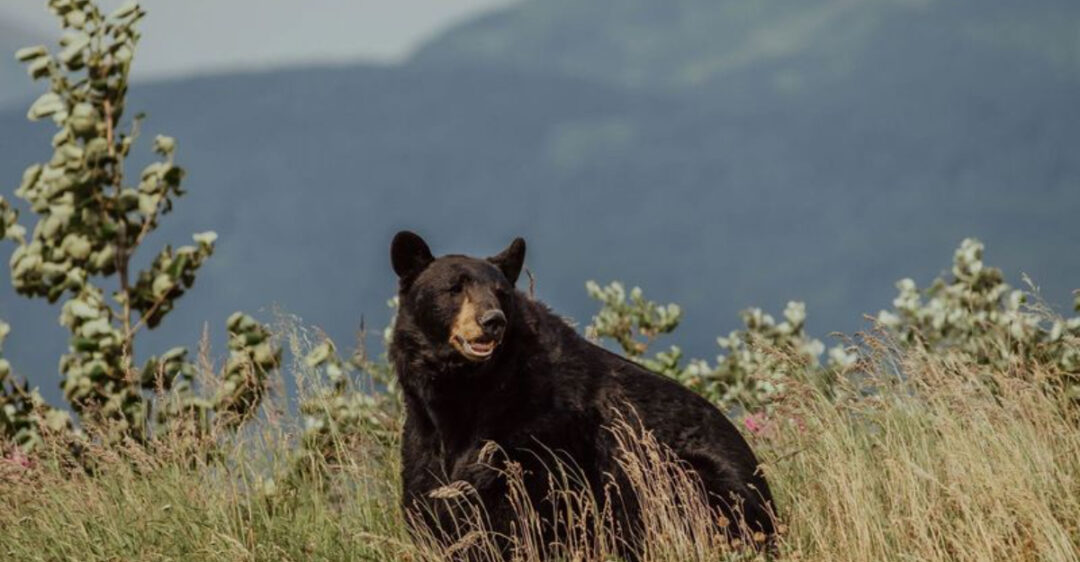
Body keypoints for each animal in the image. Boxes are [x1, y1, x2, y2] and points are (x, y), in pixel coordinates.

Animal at [388, 231, 776, 559]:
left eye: (501, 293)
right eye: (454, 288)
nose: (492, 320)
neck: (465, 391)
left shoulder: (537, 430)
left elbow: (521, 504)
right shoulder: (424, 435)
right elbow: (430, 499)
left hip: (686, 475)